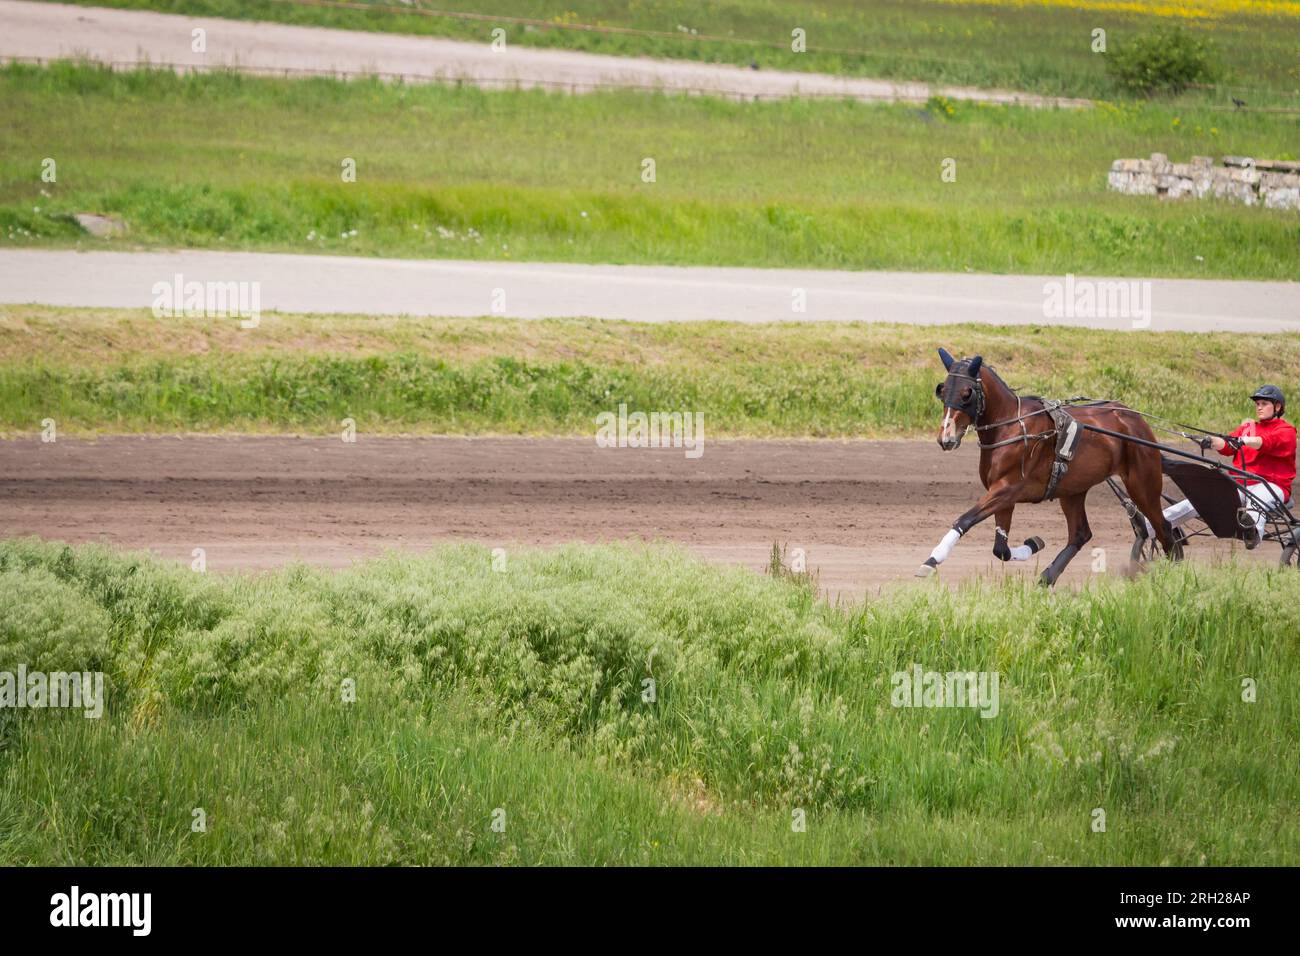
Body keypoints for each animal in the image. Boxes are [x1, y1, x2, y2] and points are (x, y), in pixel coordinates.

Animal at [918, 349, 1178, 586]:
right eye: (942, 391)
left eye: (966, 393)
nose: (946, 438)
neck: (1011, 426)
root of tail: (1134, 419)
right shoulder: (1004, 496)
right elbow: (1000, 548)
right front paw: (1033, 543)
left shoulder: (1006, 489)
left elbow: (965, 520)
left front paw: (932, 560)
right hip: (1073, 490)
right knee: (1081, 533)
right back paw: (1047, 577)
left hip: (1142, 483)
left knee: (1163, 527)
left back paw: (1173, 575)